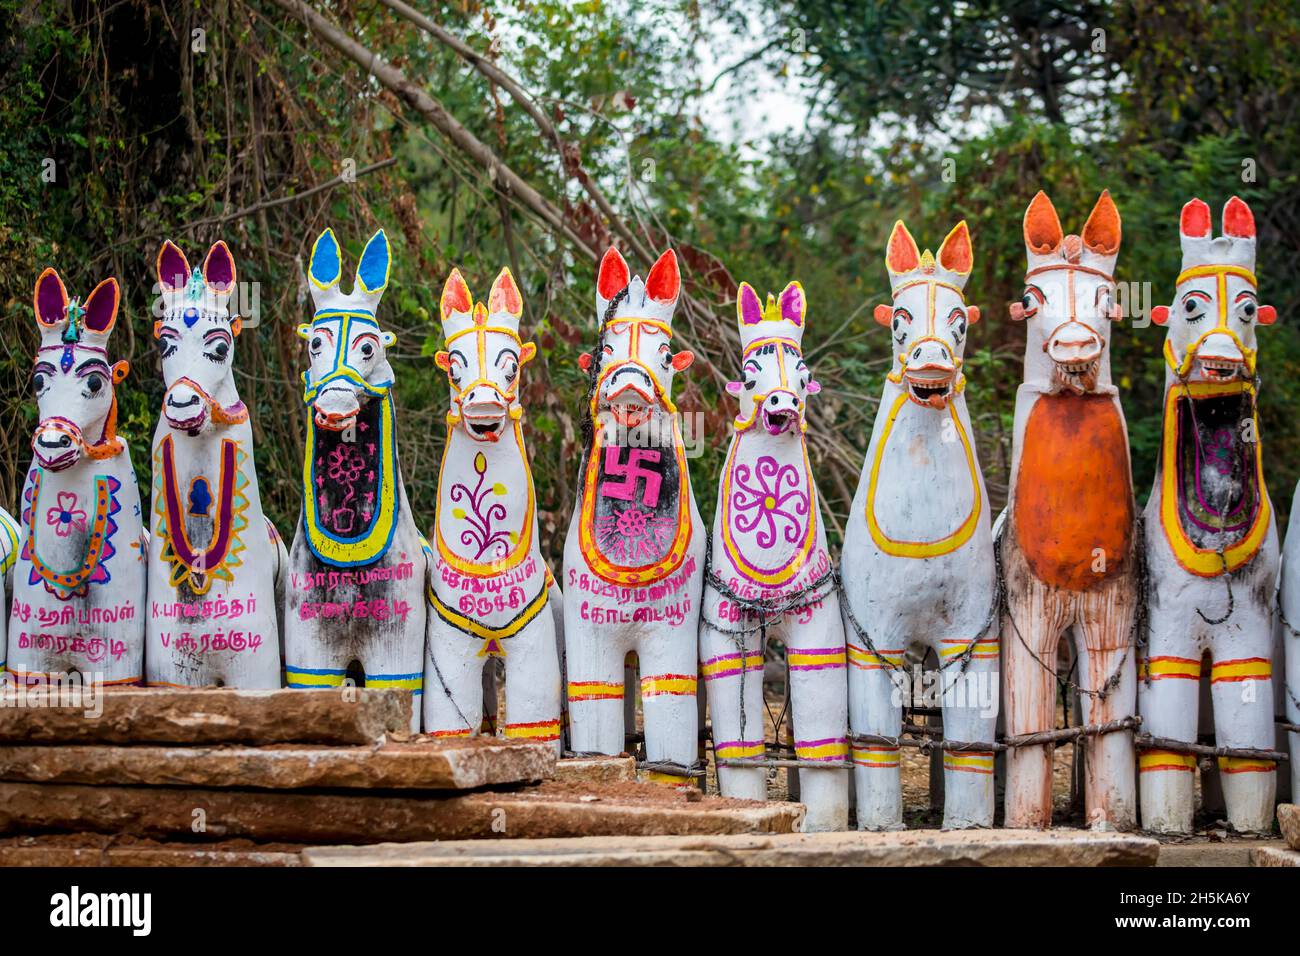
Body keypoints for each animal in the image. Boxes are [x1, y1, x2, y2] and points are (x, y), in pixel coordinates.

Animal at [423, 266, 562, 750]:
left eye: (512, 366)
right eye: (454, 368)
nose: (483, 403)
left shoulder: (535, 645)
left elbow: (535, 721)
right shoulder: (447, 651)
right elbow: (449, 721)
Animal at [562, 247, 705, 785]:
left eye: (665, 354)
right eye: (605, 350)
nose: (628, 386)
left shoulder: (673, 634)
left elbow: (672, 711)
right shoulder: (588, 633)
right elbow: (594, 709)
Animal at [700, 279, 849, 830]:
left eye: (804, 377)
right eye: (748, 375)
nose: (783, 402)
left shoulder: (820, 629)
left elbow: (822, 740)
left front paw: (825, 823)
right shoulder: (724, 631)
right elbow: (737, 748)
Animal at [840, 221, 998, 829]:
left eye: (960, 321)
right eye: (899, 319)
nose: (931, 360)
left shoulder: (971, 633)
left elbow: (970, 738)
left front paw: (967, 825)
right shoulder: (871, 635)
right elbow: (874, 737)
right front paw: (880, 825)